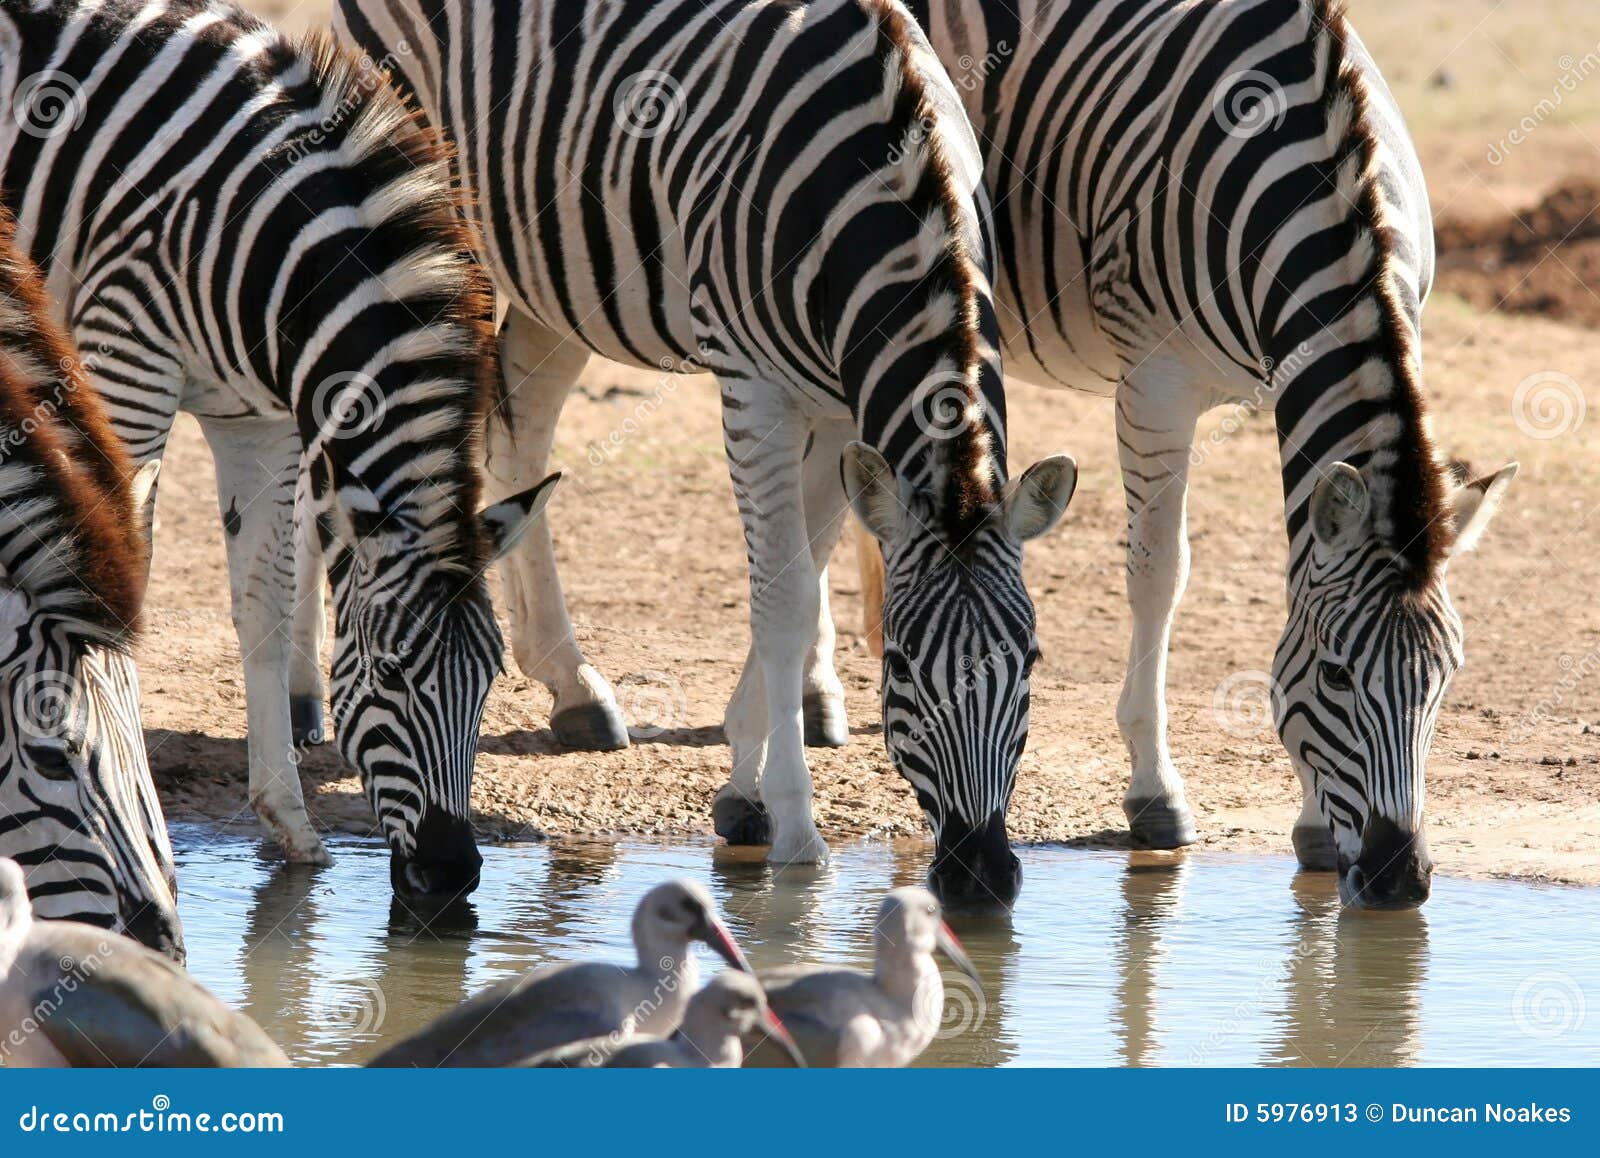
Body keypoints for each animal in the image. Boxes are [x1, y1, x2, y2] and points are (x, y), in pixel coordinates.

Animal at [0, 0, 557, 901]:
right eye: (392, 674)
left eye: (489, 684)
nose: (451, 875)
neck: (275, 246)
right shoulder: (127, 359)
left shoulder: (257, 422)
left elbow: (265, 602)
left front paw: (290, 822)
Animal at [336, 0, 1079, 906]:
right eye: (900, 666)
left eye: (1032, 660)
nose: (981, 875)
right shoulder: (755, 384)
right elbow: (783, 599)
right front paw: (795, 830)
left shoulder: (835, 400)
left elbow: (803, 571)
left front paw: (745, 787)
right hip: (427, 197)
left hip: (558, 266)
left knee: (520, 422)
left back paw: (573, 687)